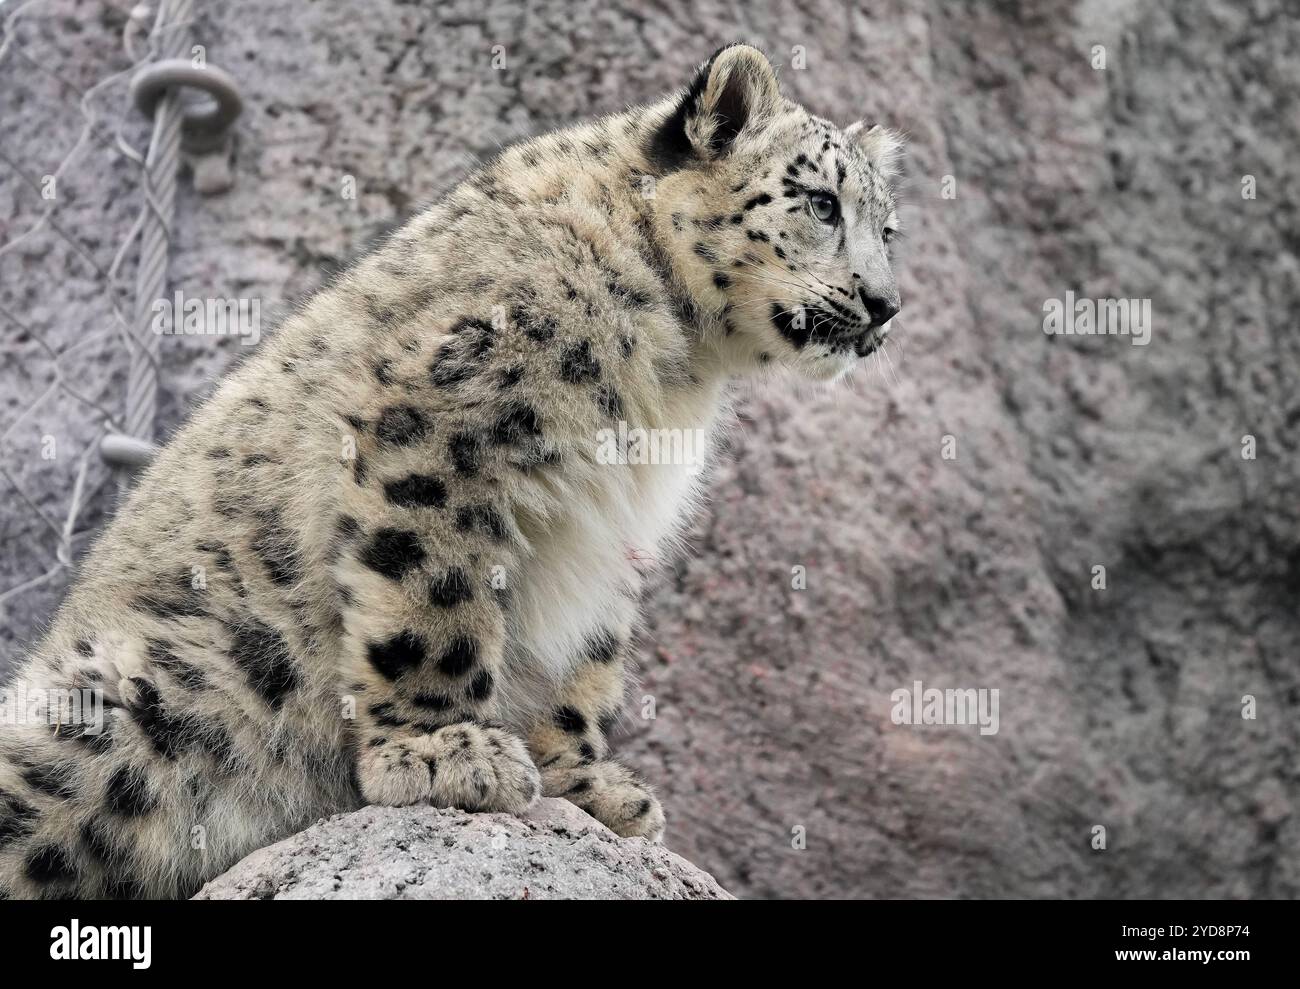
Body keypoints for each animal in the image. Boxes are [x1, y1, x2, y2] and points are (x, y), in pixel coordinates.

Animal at [0, 42, 903, 898]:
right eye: (821, 203)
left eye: (888, 231)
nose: (887, 303)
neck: (680, 370)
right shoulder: (439, 423)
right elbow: (437, 598)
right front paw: (444, 751)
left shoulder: (614, 528)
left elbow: (585, 653)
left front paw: (583, 781)